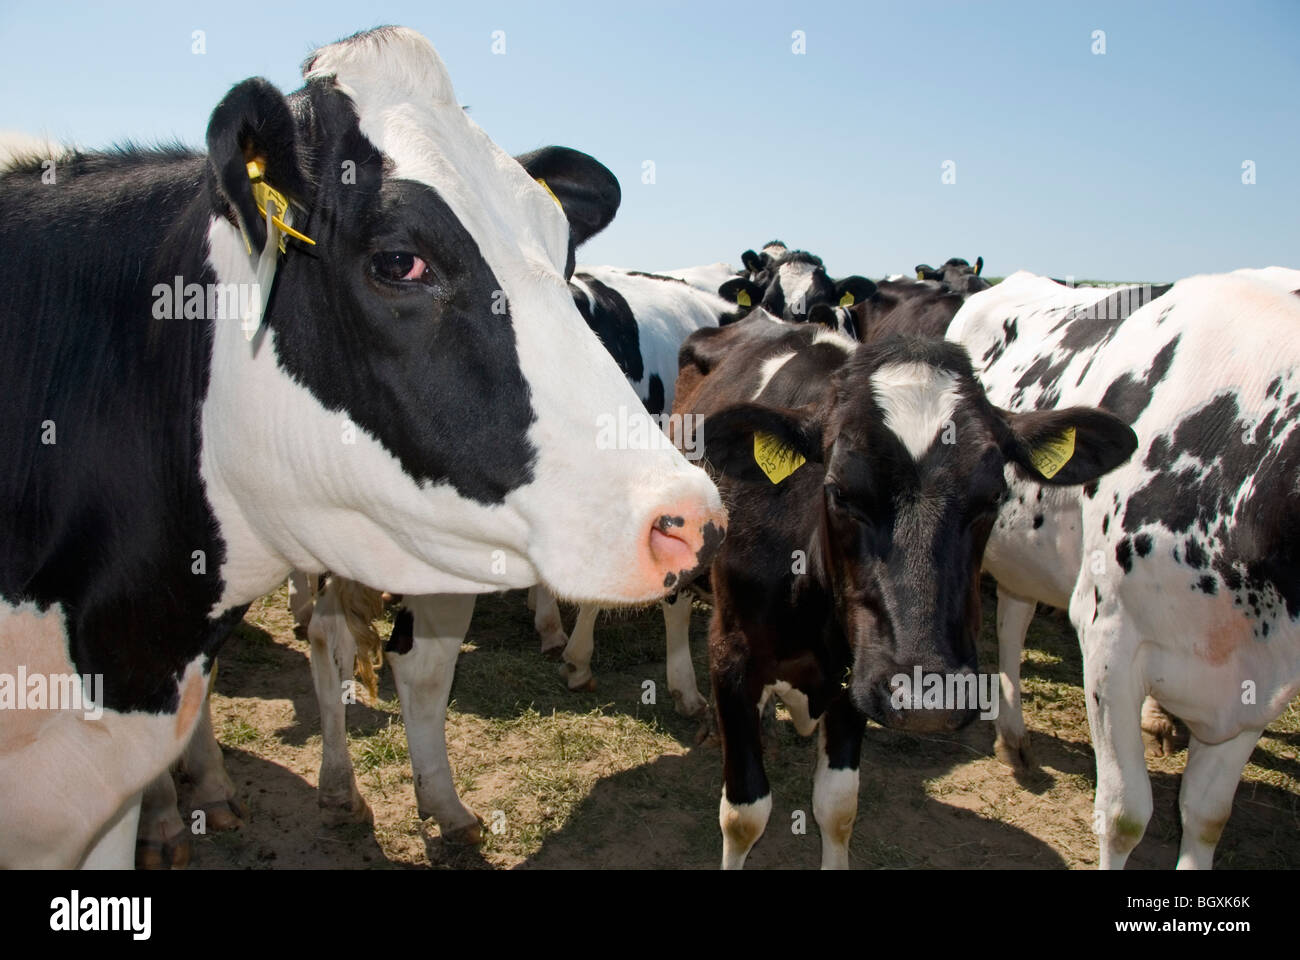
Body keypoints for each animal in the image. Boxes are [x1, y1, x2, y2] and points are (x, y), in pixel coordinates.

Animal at [671, 310, 1137, 868]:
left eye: (994, 496)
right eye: (839, 491)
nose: (927, 699)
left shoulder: (860, 669)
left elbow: (837, 807)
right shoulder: (732, 656)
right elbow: (744, 815)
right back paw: (685, 693)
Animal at [947, 268, 1300, 868]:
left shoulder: (1259, 682)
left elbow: (1208, 816)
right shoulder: (1110, 637)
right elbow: (1123, 815)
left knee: (1013, 618)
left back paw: (1013, 736)